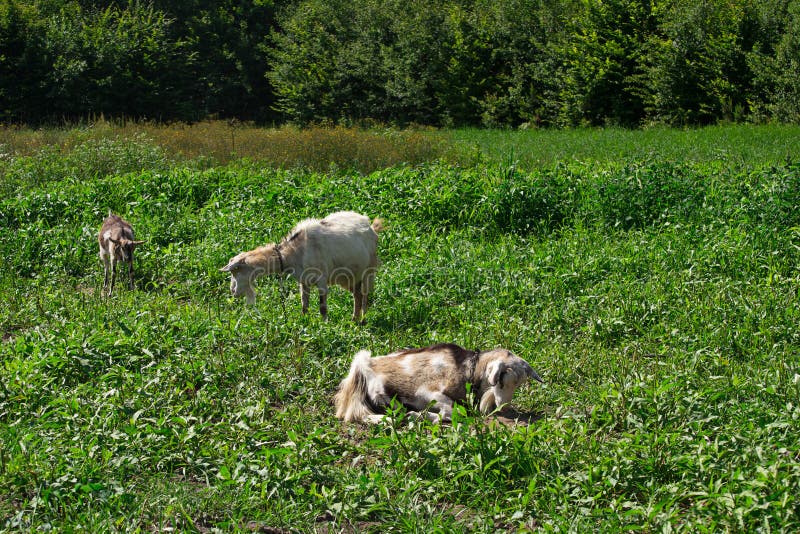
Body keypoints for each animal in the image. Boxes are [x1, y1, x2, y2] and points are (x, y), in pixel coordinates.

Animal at [220, 211, 383, 322]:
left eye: (235, 271)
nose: (233, 291)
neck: (293, 252)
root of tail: (370, 226)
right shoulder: (303, 281)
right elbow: (304, 305)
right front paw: (304, 323)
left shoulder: (321, 279)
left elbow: (322, 307)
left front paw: (325, 326)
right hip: (350, 276)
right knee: (357, 294)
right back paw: (354, 320)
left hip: (369, 269)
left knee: (365, 294)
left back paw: (362, 320)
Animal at [334, 343, 543, 423]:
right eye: (501, 380)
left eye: (519, 384)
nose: (503, 407)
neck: (468, 369)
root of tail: (362, 368)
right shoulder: (427, 392)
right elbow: (455, 411)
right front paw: (420, 415)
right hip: (383, 396)